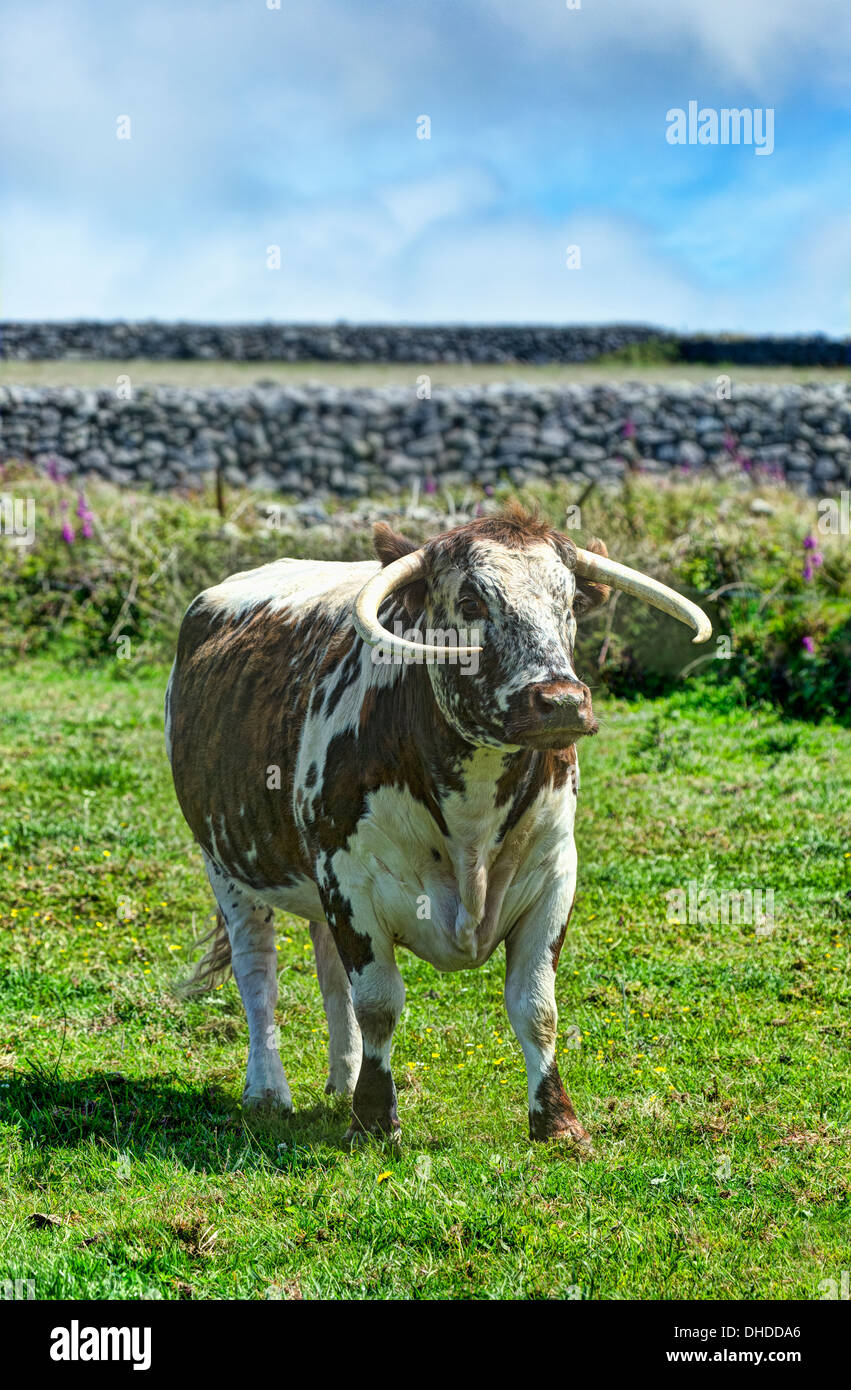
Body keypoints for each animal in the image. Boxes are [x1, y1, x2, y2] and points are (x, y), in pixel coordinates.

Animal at [165, 502, 710, 1148]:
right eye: (472, 602)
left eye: (570, 602)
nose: (561, 701)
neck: (471, 812)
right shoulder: (350, 883)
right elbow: (378, 1002)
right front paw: (375, 1120)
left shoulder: (555, 874)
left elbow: (536, 1006)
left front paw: (557, 1121)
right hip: (225, 865)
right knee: (258, 976)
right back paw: (269, 1090)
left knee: (330, 978)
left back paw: (342, 1080)